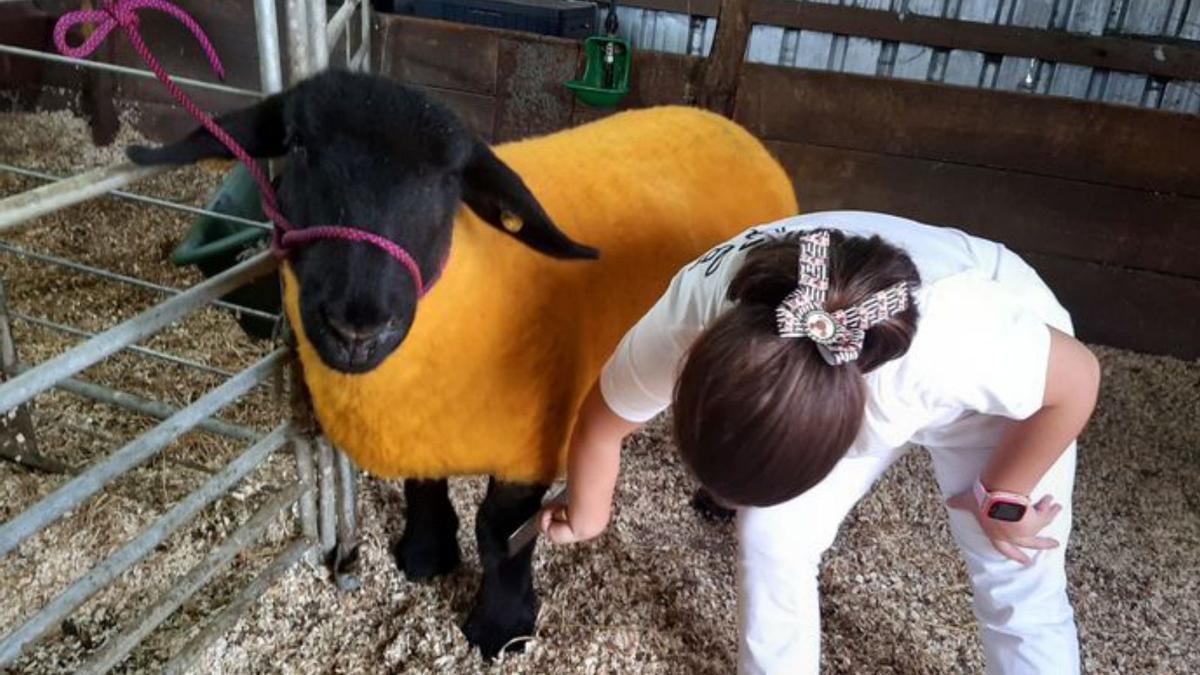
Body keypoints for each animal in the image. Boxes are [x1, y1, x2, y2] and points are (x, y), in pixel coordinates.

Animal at [128, 68, 798, 659]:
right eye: (296, 146)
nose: (358, 324)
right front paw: (425, 556)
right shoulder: (422, 426)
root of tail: (723, 122)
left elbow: (499, 535)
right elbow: (424, 485)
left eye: (447, 178)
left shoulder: (529, 443)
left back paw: (721, 500)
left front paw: (501, 627)